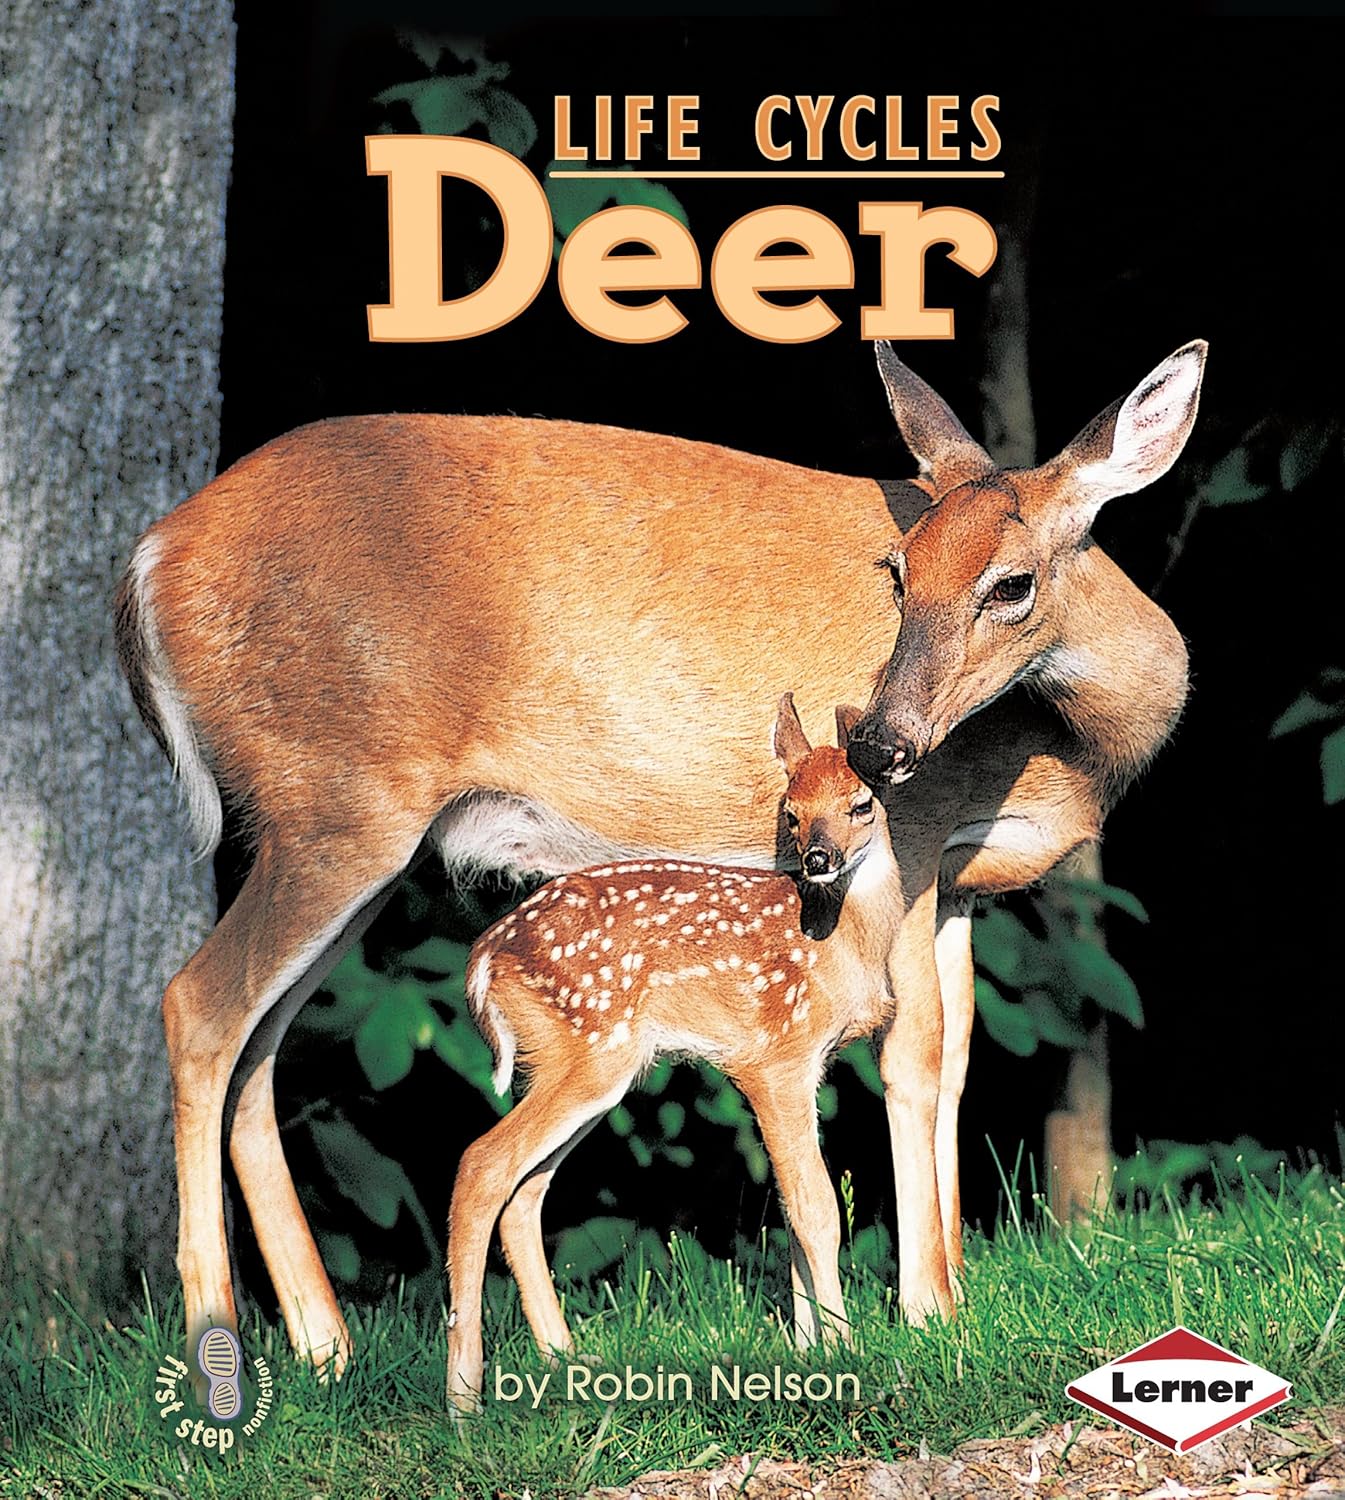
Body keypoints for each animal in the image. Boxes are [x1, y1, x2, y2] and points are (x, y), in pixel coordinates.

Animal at [115, 337, 1204, 1379]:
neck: (1070, 750)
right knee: (199, 1005)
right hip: (338, 804)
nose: (879, 741)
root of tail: (148, 561)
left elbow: (961, 1056)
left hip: (346, 840)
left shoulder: (960, 885)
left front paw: (939, 1298)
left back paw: (324, 1347)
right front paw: (925, 1312)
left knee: (261, 1044)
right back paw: (219, 1344)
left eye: (1010, 584)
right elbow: (915, 1056)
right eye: (896, 572)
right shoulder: (918, 834)